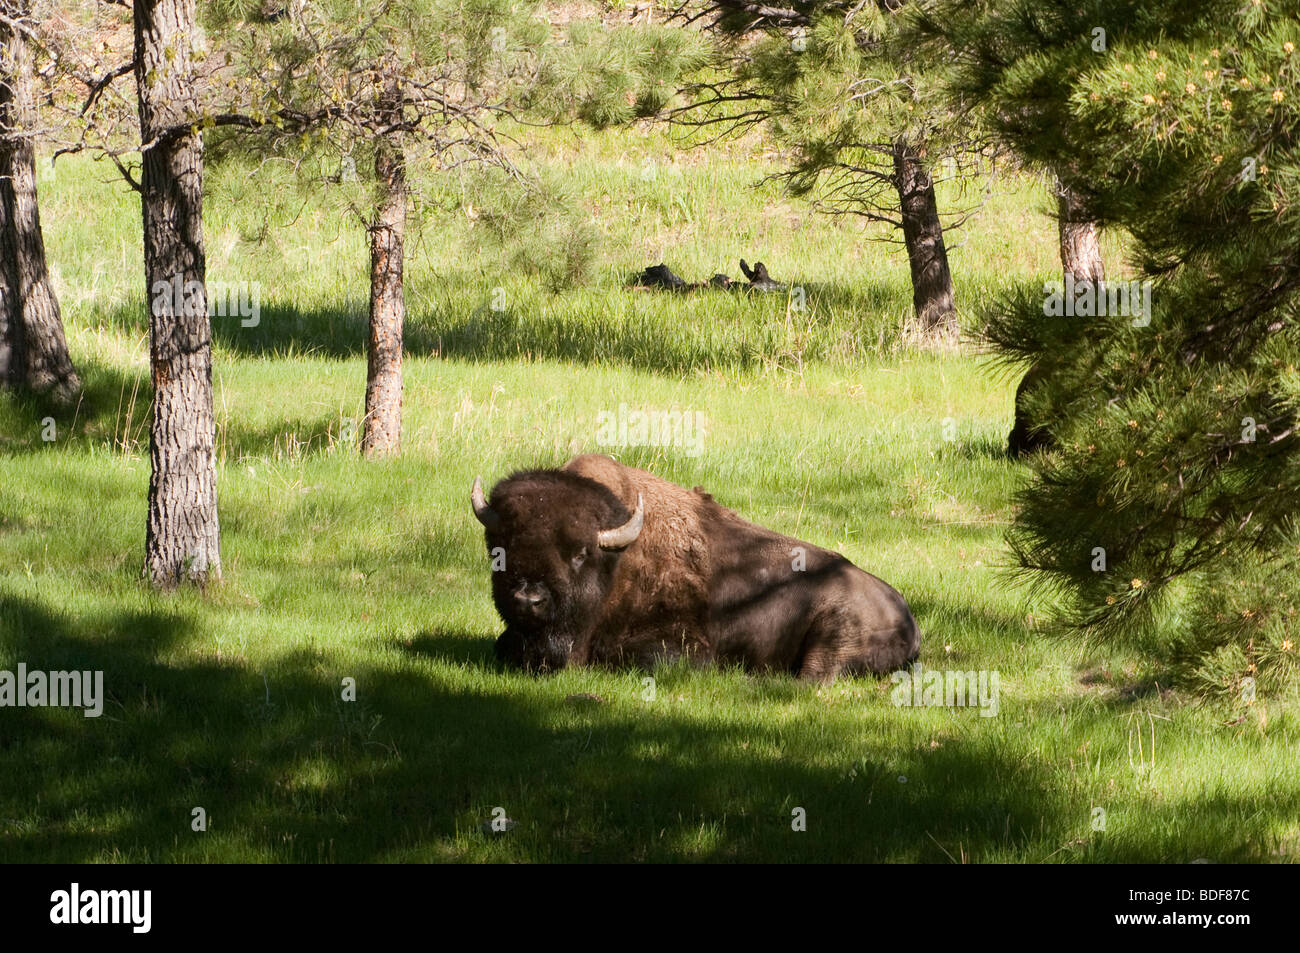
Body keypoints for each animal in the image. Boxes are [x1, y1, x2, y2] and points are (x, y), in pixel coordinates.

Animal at [470, 455, 920, 682]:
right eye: (500, 549)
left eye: (581, 553)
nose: (529, 600)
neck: (618, 563)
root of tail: (908, 617)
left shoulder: (684, 648)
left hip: (833, 638)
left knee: (812, 678)